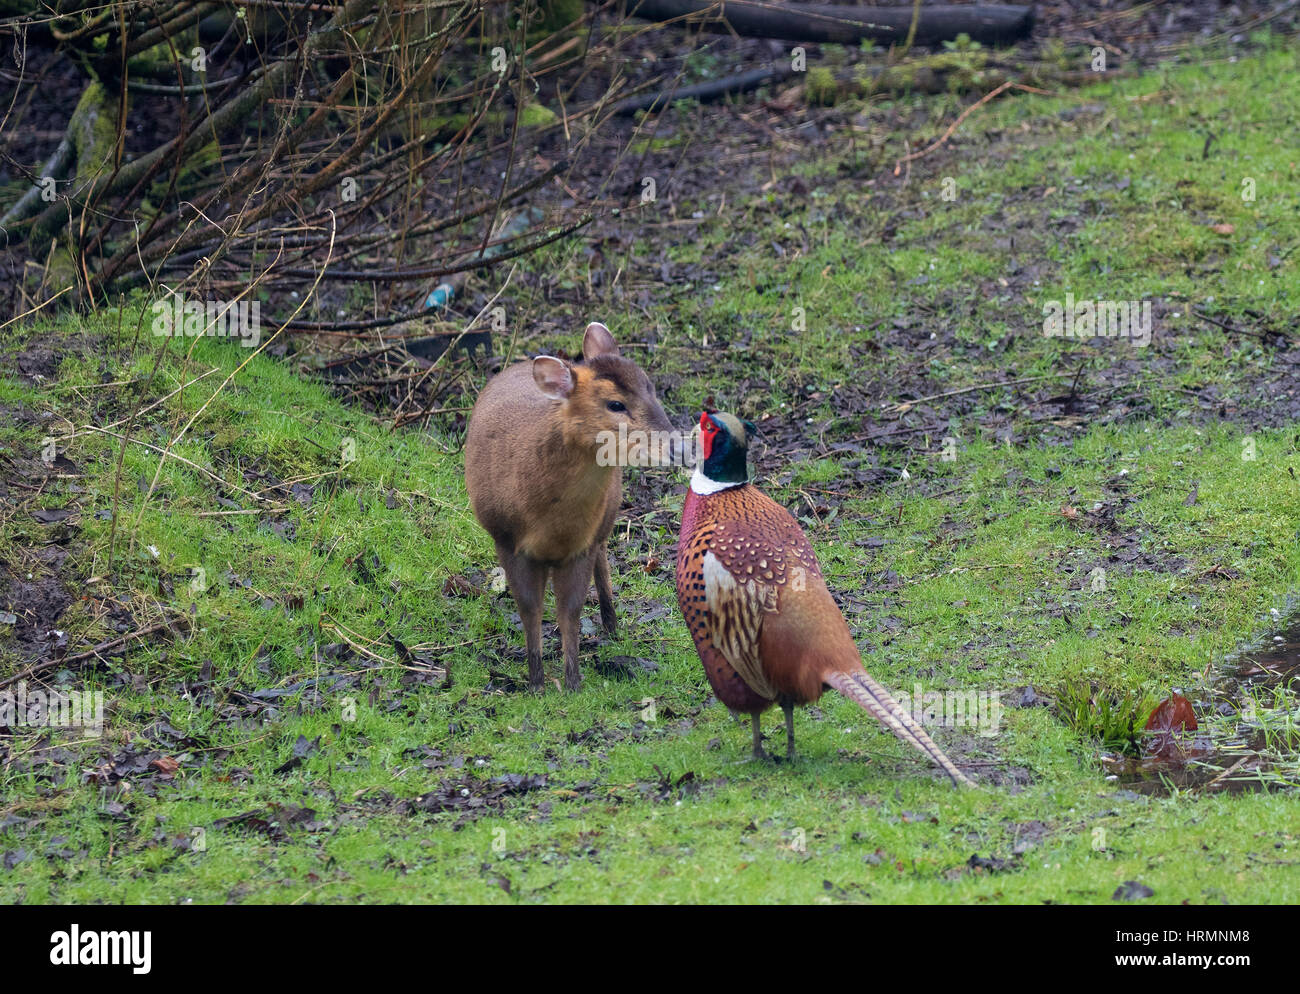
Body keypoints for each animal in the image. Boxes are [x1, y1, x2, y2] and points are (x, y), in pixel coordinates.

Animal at [464, 321, 677, 693]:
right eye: (615, 404)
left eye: (651, 387)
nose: (675, 444)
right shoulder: (506, 538)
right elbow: (530, 609)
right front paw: (536, 681)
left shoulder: (581, 546)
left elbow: (571, 611)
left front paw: (573, 680)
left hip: (605, 521)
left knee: (603, 563)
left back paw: (611, 625)